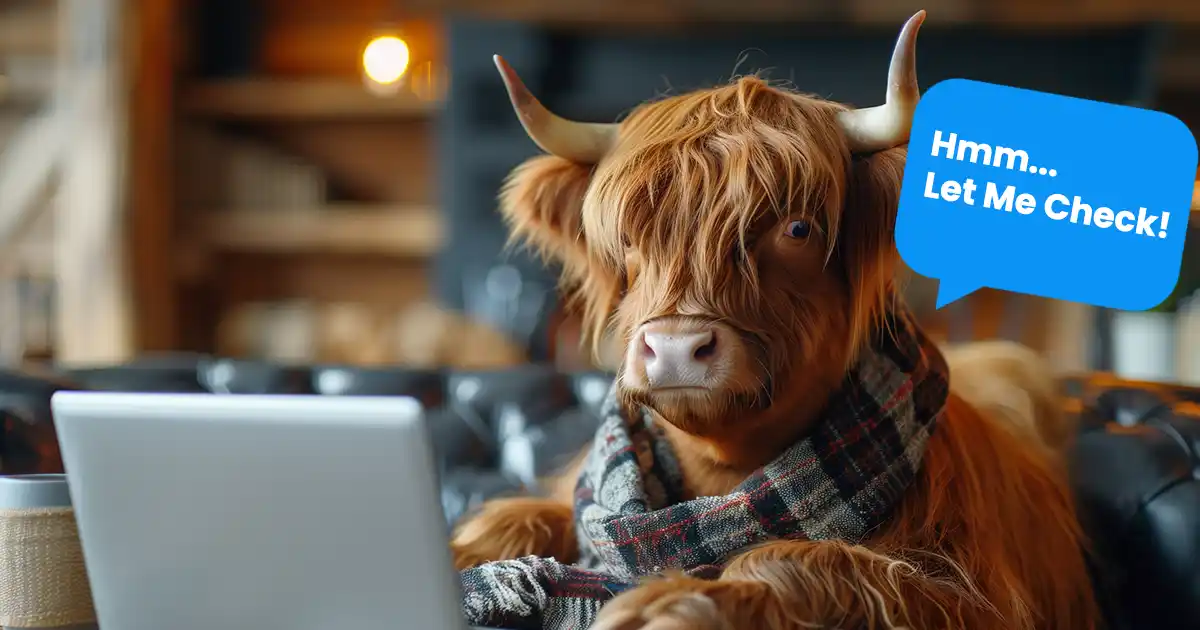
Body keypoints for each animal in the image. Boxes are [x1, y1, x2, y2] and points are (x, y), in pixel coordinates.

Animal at [451, 11, 1099, 630]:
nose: (676, 348)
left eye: (797, 228)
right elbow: (520, 519)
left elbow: (803, 557)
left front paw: (668, 606)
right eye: (629, 240)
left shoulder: (980, 598)